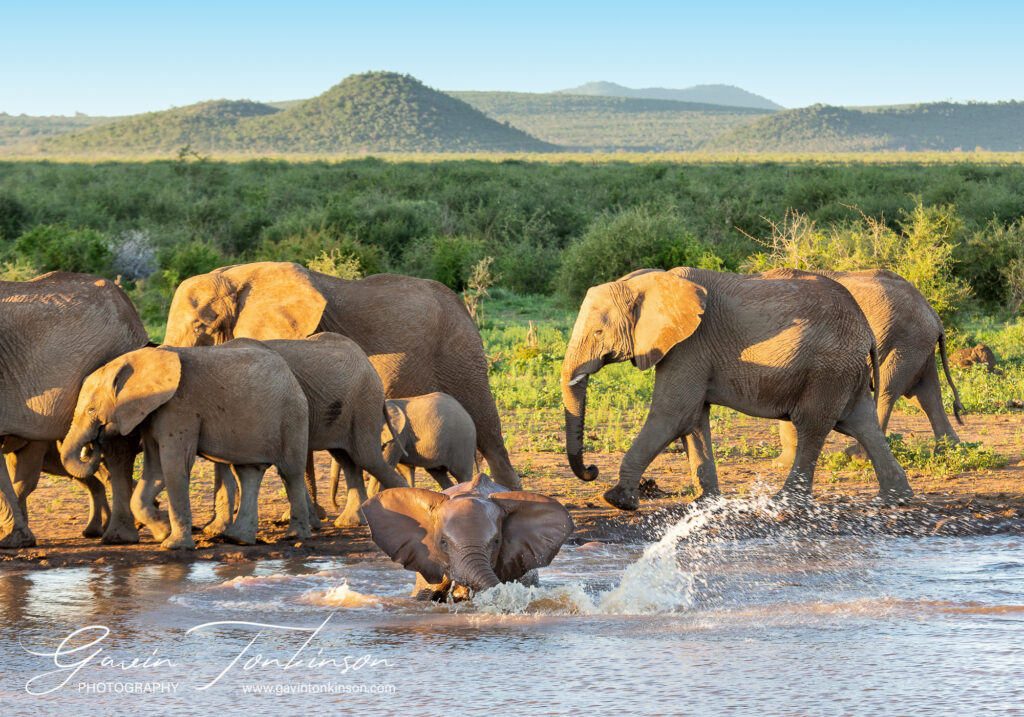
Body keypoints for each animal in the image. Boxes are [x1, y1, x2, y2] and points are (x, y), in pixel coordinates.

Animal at [60, 343, 311, 549]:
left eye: (91, 410)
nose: (95, 443)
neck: (140, 359)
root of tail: (291, 375)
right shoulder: (153, 414)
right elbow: (155, 470)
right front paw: (163, 531)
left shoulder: (180, 408)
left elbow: (174, 465)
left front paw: (174, 545)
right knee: (248, 472)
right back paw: (237, 539)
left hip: (292, 416)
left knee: (290, 473)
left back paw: (296, 536)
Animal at [204, 333, 409, 539]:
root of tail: (368, 362)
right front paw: (214, 530)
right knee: (347, 460)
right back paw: (351, 521)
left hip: (364, 403)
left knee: (366, 458)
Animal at [331, 392, 477, 507]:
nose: (336, 506)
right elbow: (405, 470)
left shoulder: (396, 437)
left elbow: (385, 465)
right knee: (439, 474)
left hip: (462, 442)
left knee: (462, 474)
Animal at [561, 267, 913, 511]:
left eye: (597, 333)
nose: (592, 469)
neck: (649, 282)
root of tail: (866, 329)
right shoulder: (690, 350)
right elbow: (693, 419)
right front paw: (705, 503)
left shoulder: (689, 346)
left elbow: (673, 414)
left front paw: (617, 500)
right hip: (844, 370)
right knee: (862, 424)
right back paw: (896, 499)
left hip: (828, 369)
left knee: (813, 427)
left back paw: (783, 503)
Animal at [773, 269, 964, 466]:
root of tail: (933, 313)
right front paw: (782, 463)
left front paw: (782, 464)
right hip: (917, 345)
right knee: (925, 394)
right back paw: (947, 453)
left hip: (907, 343)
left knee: (889, 391)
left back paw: (858, 457)